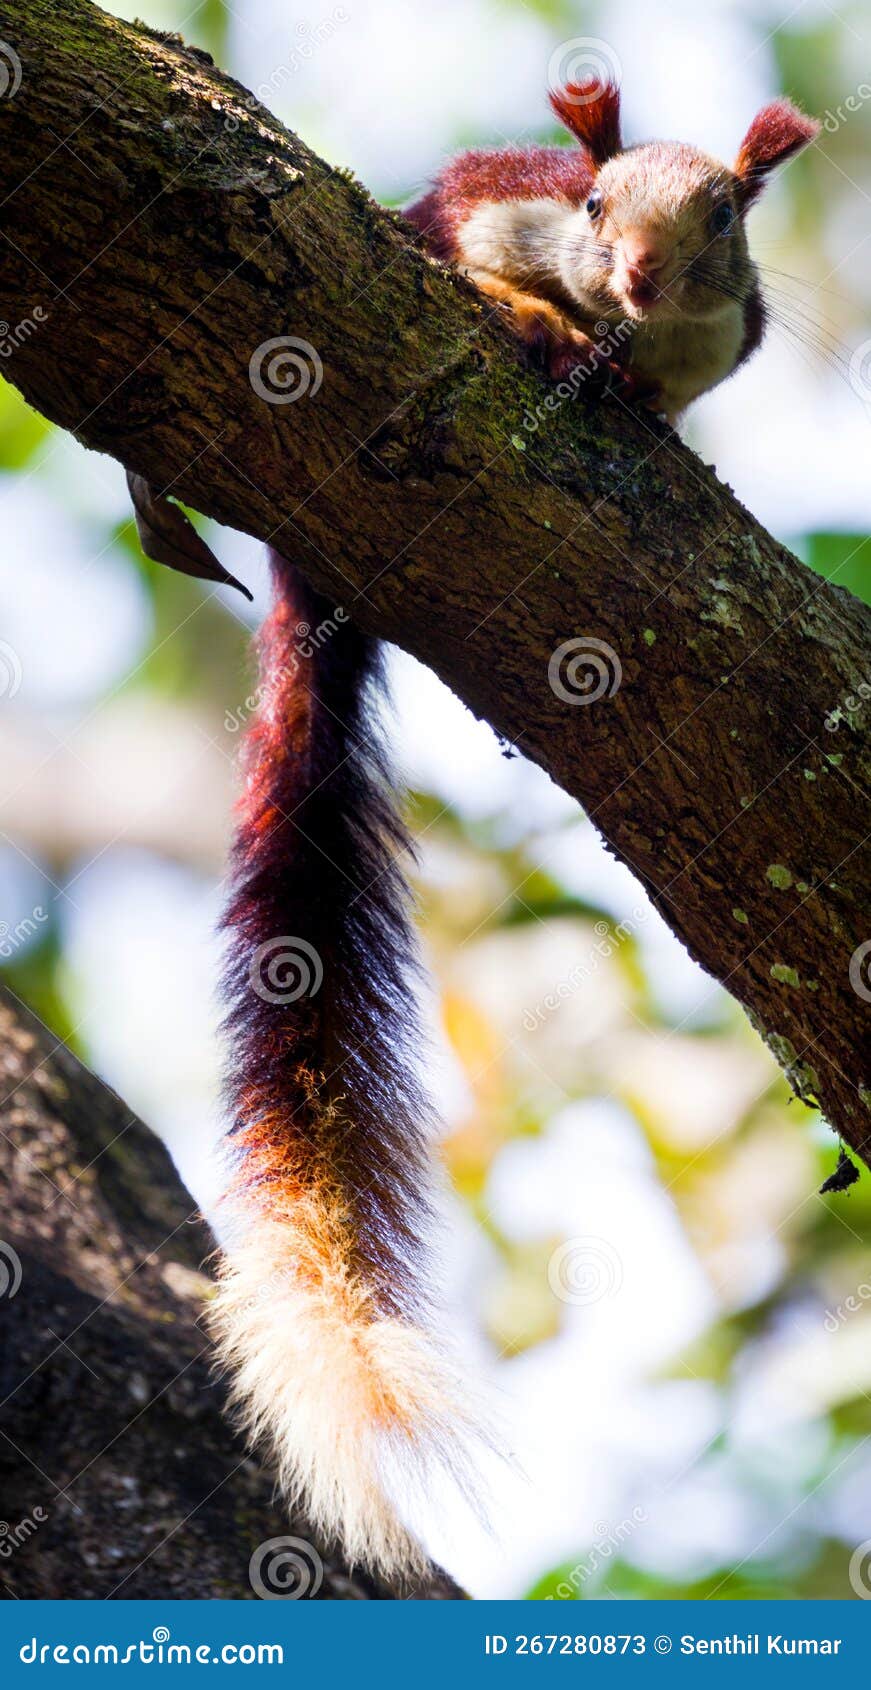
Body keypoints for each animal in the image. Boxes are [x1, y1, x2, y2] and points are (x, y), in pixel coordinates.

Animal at [129, 78, 819, 1580]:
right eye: (594, 200)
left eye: (721, 217)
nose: (632, 277)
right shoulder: (488, 203)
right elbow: (452, 243)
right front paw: (542, 325)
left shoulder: (717, 338)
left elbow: (677, 381)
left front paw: (640, 389)